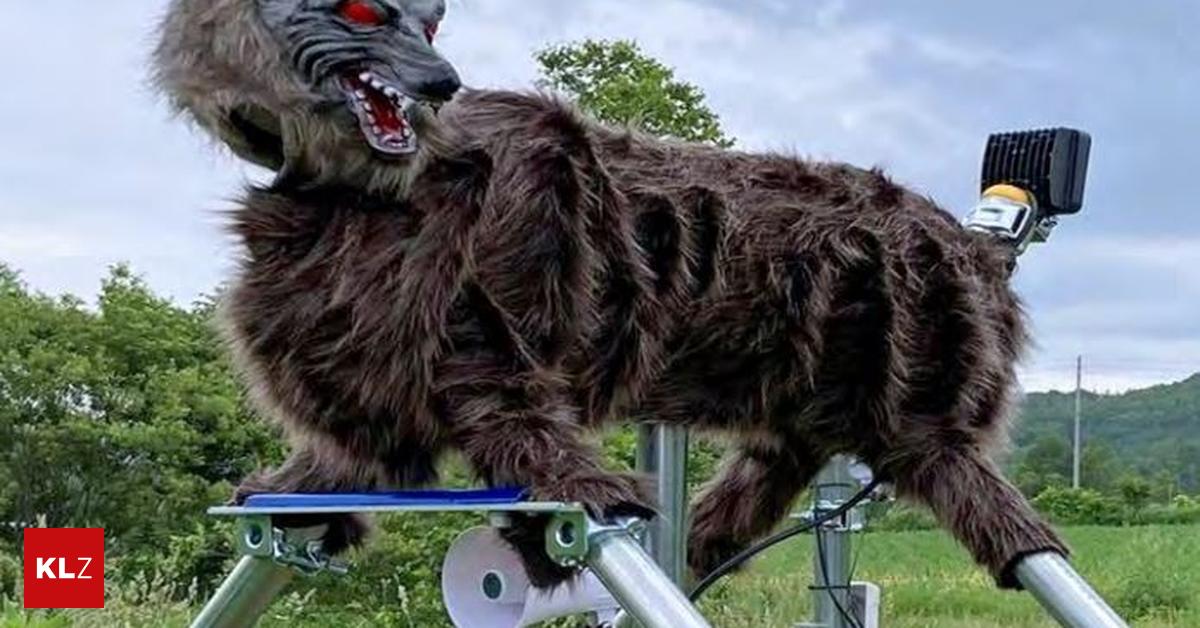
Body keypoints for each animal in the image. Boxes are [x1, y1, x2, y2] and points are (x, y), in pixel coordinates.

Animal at [154, 0, 1068, 589]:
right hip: (804, 401)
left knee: (996, 507)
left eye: (426, 21)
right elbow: (348, 456)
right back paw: (701, 538)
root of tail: (976, 246)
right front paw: (288, 485)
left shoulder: (489, 346)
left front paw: (565, 513)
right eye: (362, 15)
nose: (441, 80)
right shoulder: (375, 380)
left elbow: (527, 437)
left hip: (921, 407)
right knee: (768, 470)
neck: (347, 198)